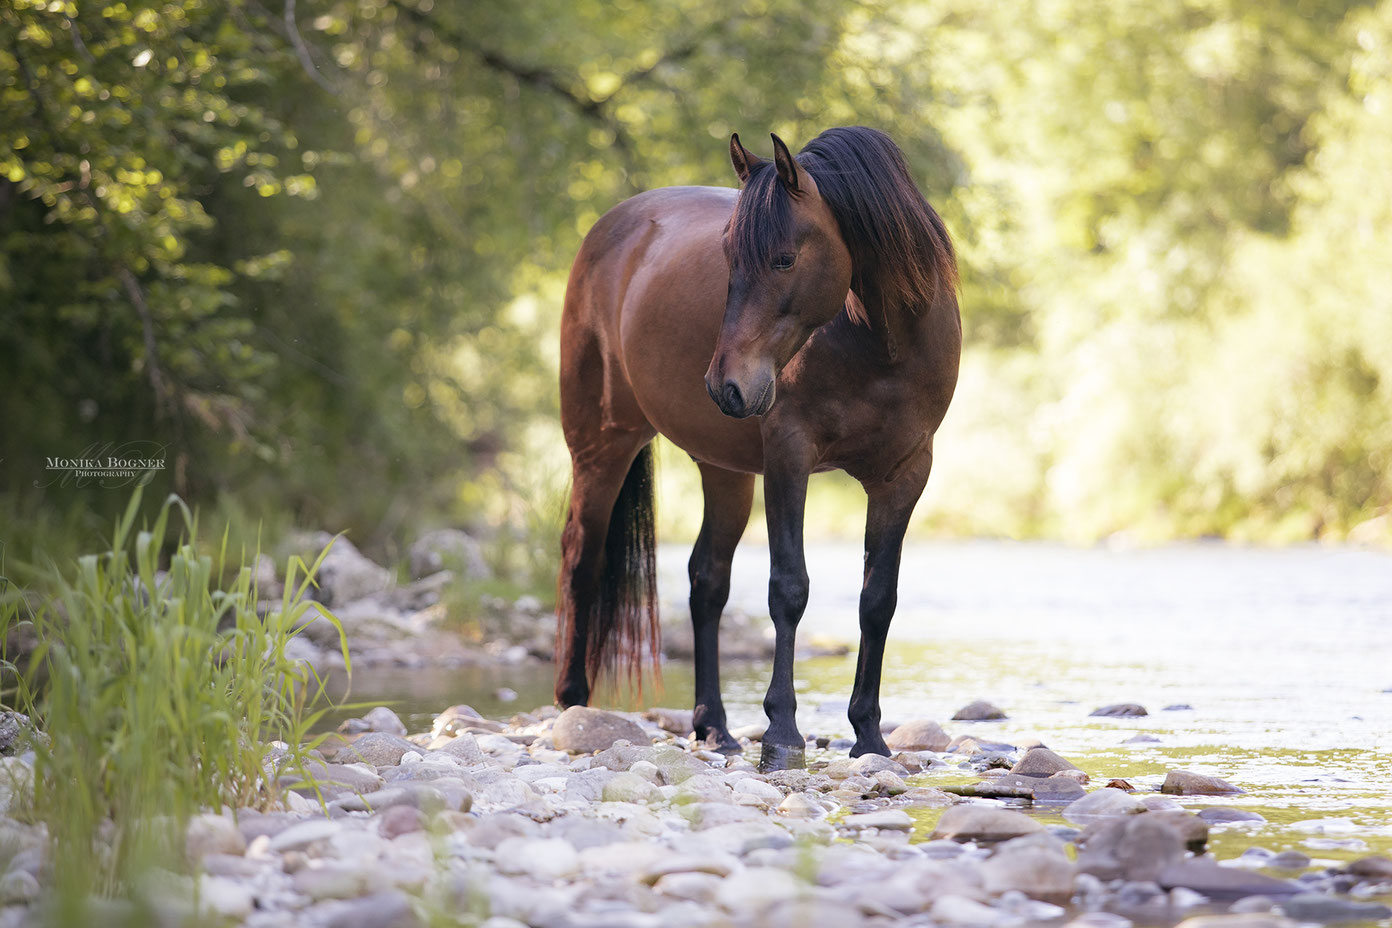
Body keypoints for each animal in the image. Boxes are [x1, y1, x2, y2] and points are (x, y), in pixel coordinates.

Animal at [553, 125, 961, 768]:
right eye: (727, 256)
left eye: (785, 258)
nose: (727, 385)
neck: (883, 343)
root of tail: (612, 227)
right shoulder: (789, 457)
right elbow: (789, 588)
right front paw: (782, 733)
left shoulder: (904, 474)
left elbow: (878, 599)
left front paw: (868, 736)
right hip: (600, 446)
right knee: (581, 560)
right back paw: (572, 703)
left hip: (723, 471)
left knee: (707, 582)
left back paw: (713, 726)